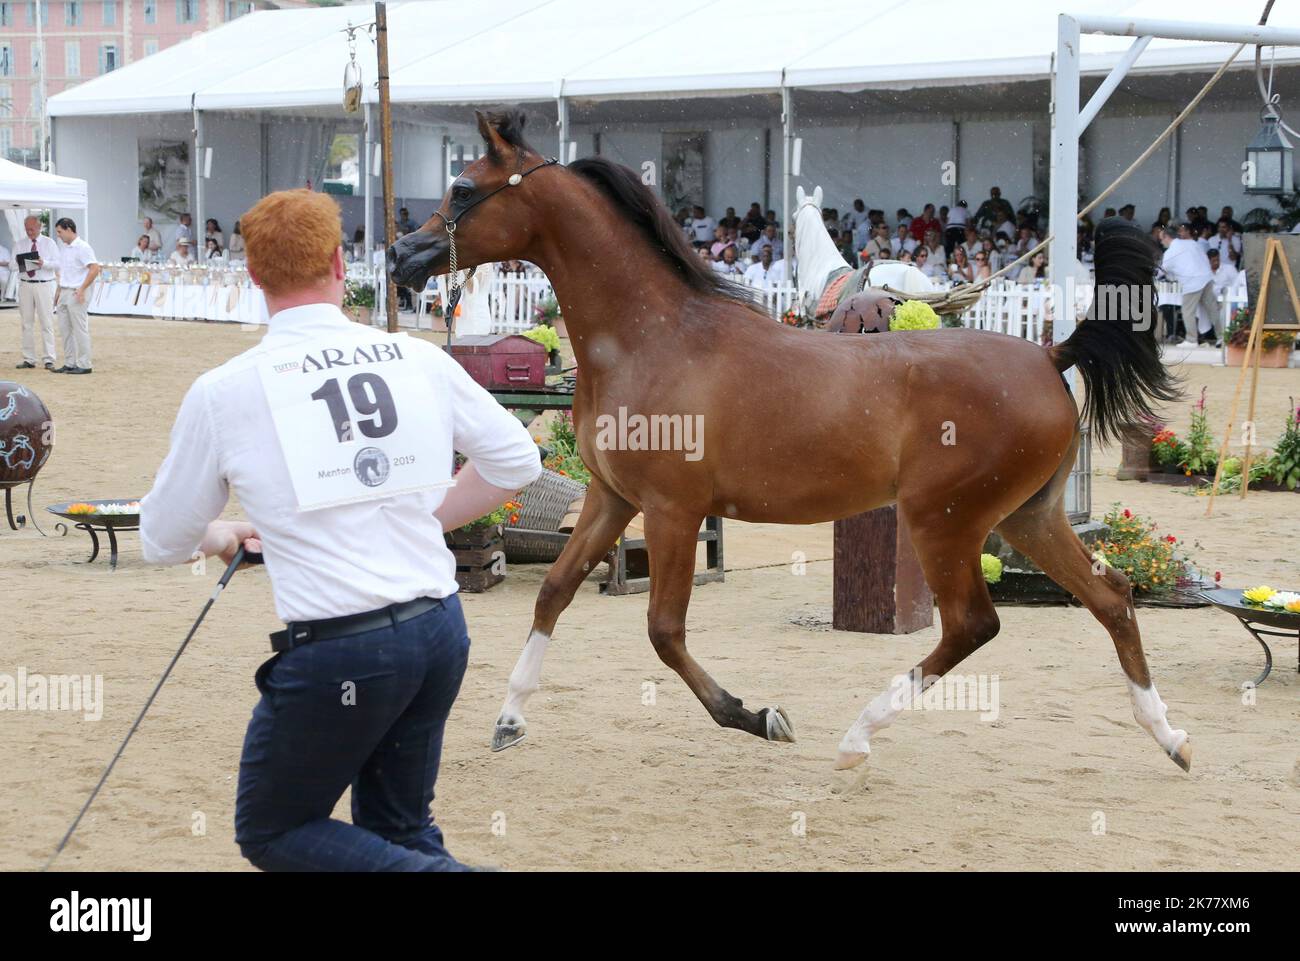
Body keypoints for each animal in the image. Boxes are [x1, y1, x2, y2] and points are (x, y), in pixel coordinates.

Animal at [389, 109, 1191, 773]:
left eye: (463, 187)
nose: (401, 255)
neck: (652, 338)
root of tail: (1051, 357)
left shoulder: (674, 509)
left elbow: (664, 631)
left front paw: (759, 716)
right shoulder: (613, 497)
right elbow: (555, 592)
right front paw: (508, 719)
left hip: (944, 519)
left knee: (974, 623)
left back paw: (857, 737)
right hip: (1029, 517)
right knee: (1114, 597)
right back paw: (1171, 738)